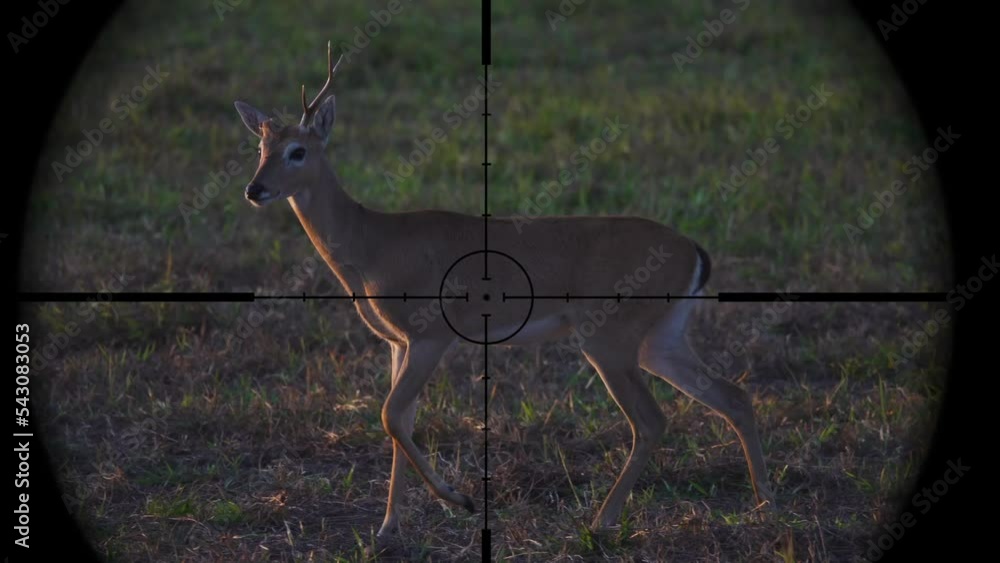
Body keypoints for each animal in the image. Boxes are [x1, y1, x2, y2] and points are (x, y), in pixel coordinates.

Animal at [232, 42, 774, 543]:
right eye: (260, 149)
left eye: (298, 150)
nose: (254, 190)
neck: (372, 244)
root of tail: (694, 252)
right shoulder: (396, 343)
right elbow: (399, 421)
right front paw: (388, 529)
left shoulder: (431, 334)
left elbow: (389, 416)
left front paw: (460, 500)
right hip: (660, 336)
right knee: (733, 396)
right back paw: (764, 504)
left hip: (610, 336)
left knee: (653, 419)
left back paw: (602, 522)